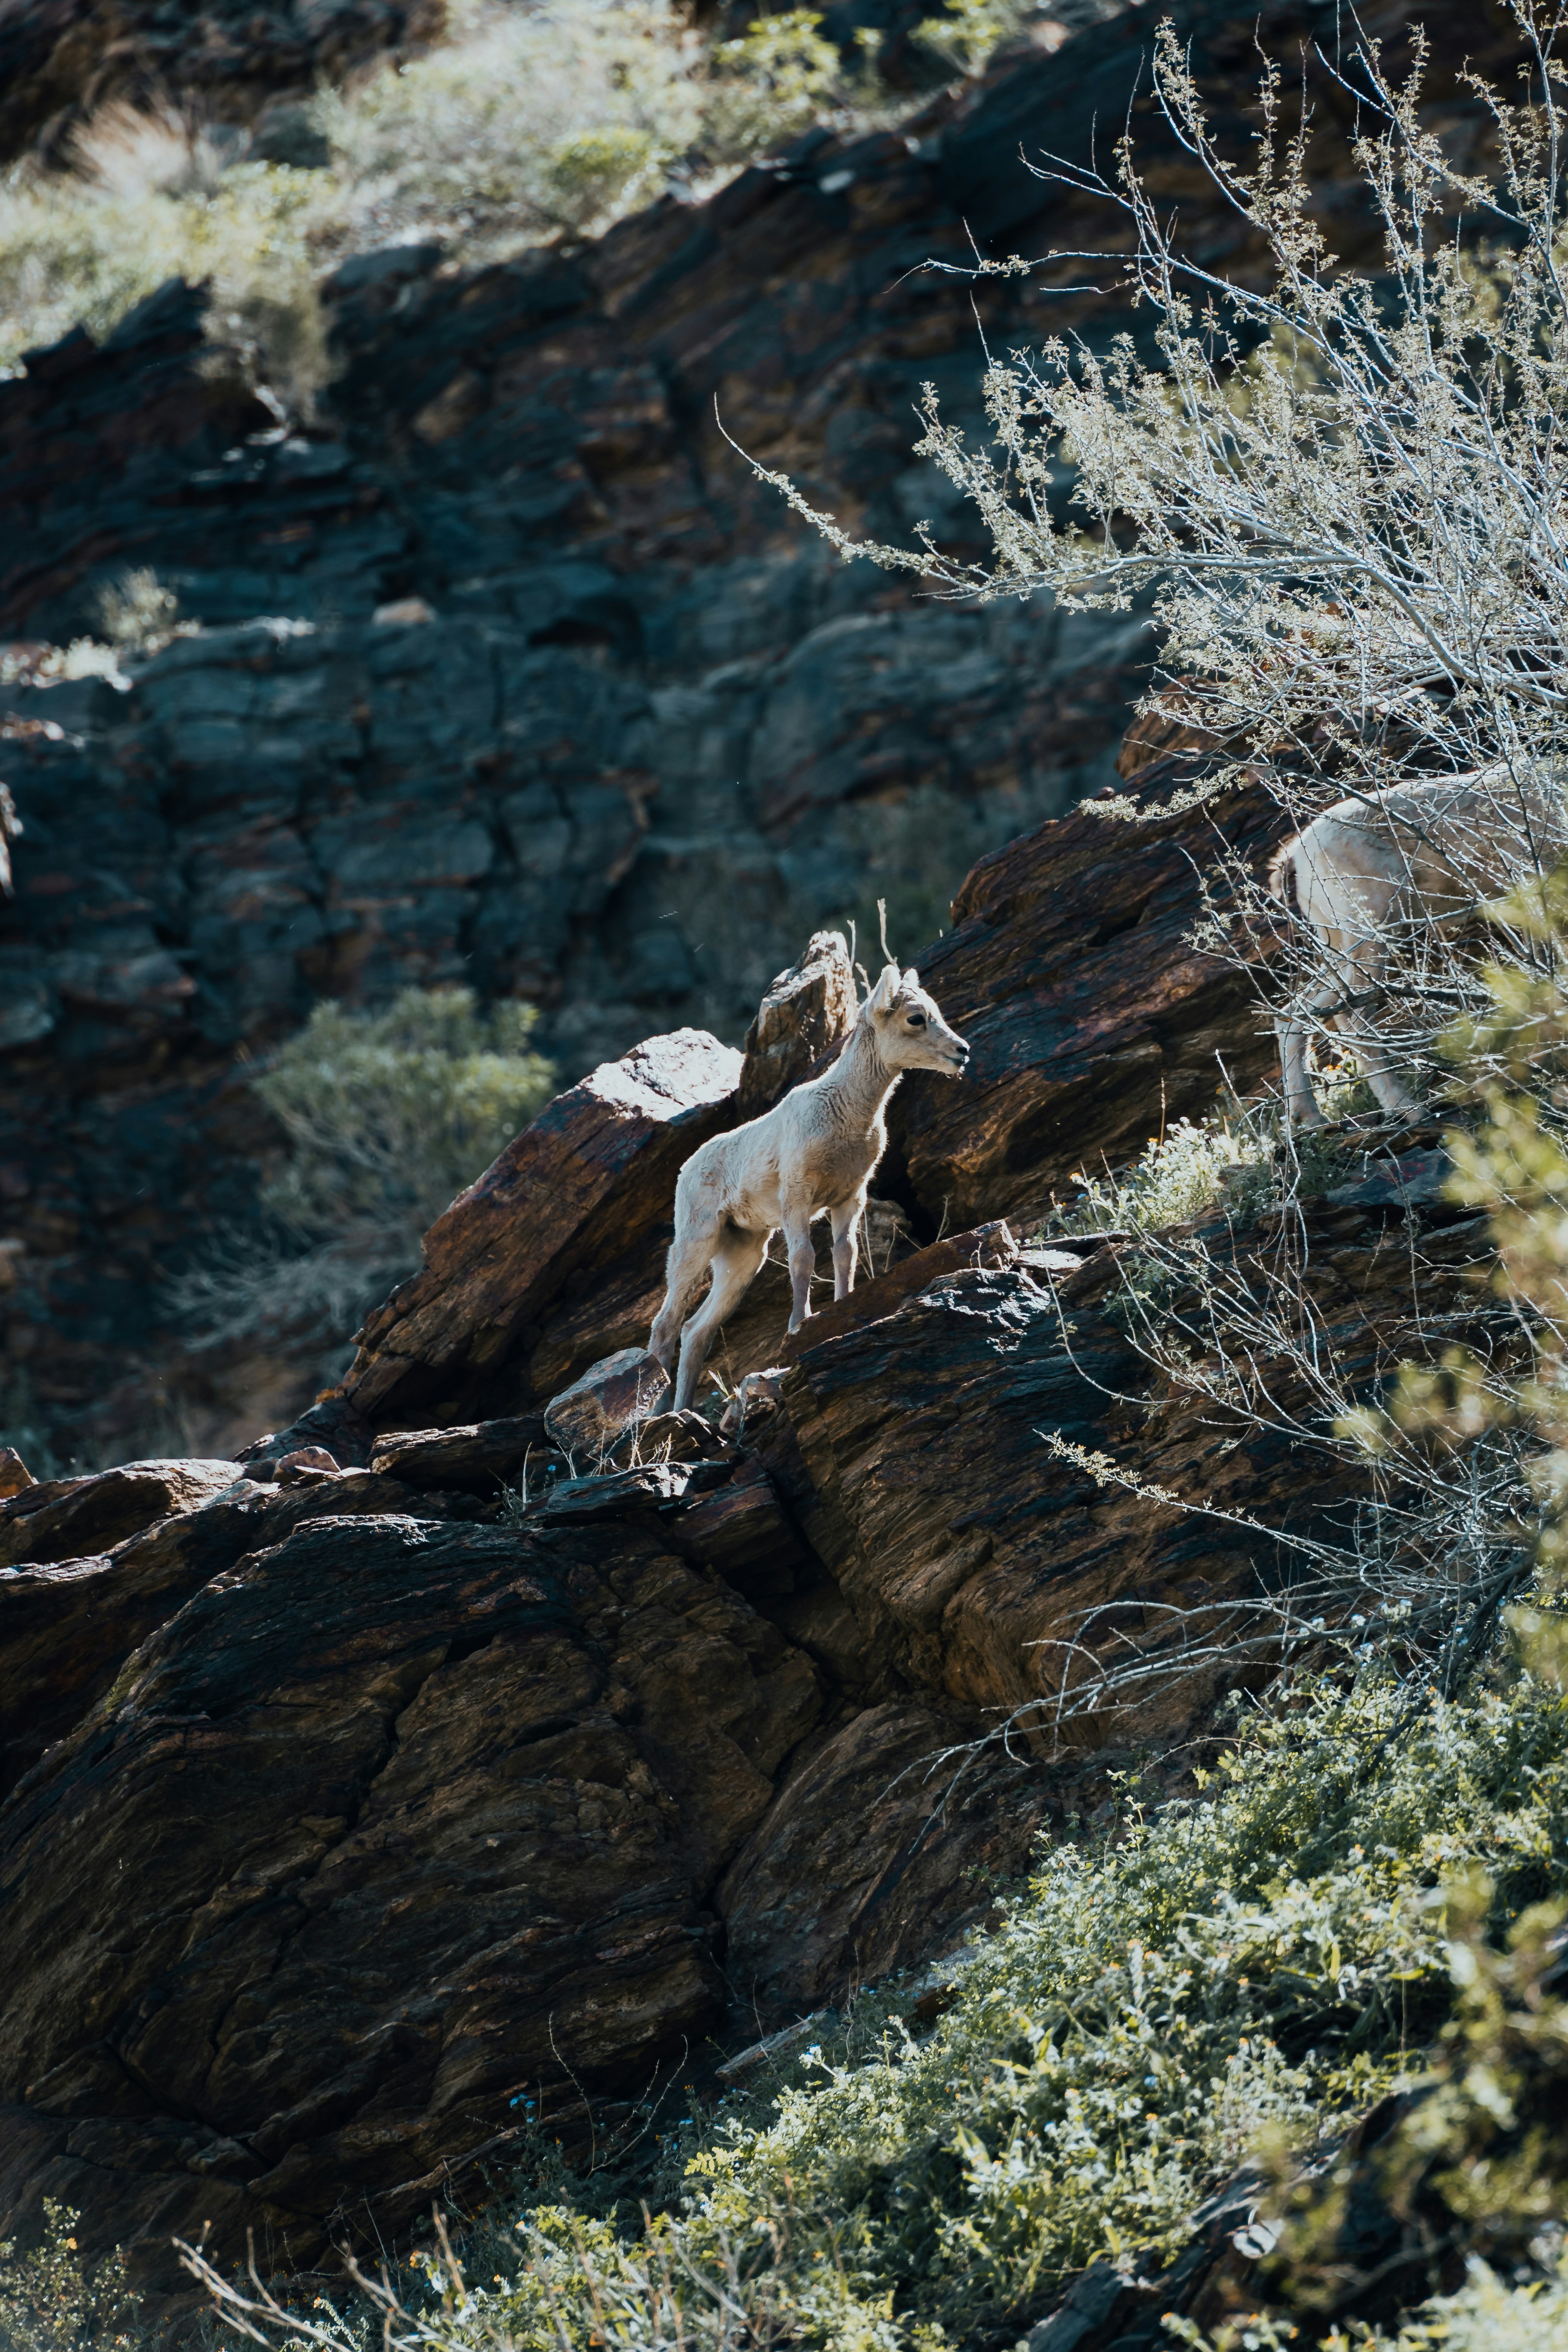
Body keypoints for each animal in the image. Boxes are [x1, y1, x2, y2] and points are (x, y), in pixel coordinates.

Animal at [649, 960, 969, 1411]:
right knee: (667, 1322)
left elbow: (845, 1256)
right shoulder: (797, 1199)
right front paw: (799, 1327)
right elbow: (804, 1260)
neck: (847, 1115)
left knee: (696, 1329)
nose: (962, 1052)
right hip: (698, 1239)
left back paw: (681, 1411)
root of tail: (686, 1170)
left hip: (744, 1253)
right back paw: (658, 1415)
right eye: (915, 1018)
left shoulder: (849, 1199)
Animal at [1267, 759, 1568, 1128]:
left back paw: (1311, 1118)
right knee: (1351, 1018)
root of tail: (1297, 855)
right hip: (1372, 933)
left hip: (1338, 944)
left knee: (1294, 1016)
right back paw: (1410, 1110)